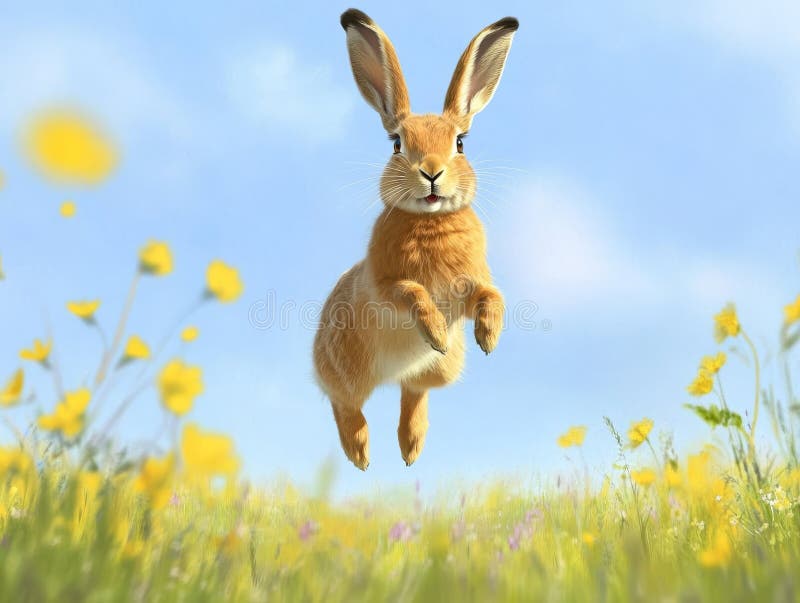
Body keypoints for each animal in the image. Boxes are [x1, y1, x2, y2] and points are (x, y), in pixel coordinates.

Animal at [314, 8, 518, 470]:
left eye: (460, 143)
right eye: (396, 144)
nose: (431, 172)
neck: (430, 221)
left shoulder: (468, 288)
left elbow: (492, 295)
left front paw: (488, 338)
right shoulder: (384, 288)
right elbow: (412, 292)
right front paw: (436, 333)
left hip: (436, 372)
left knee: (415, 390)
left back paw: (410, 447)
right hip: (346, 367)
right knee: (343, 402)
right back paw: (360, 453)